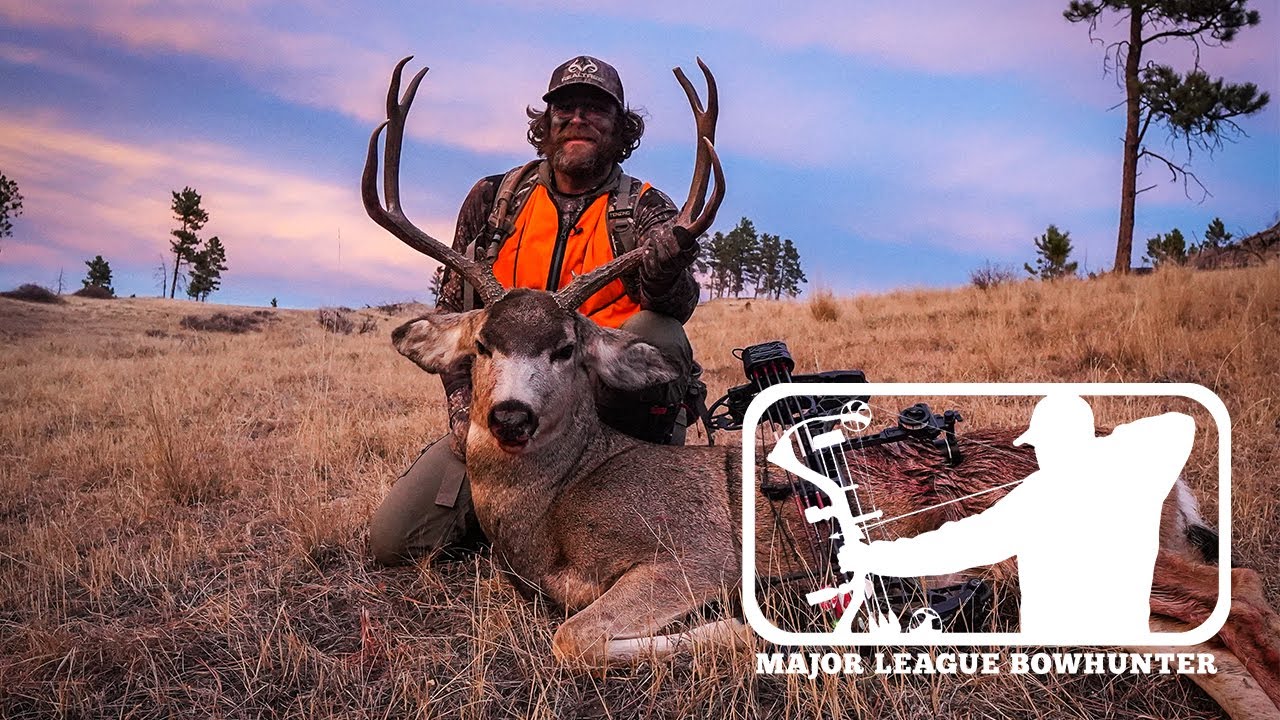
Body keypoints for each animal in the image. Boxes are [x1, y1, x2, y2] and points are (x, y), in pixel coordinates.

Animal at [362, 58, 1280, 719]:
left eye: (564, 348)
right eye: (483, 343)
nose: (510, 415)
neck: (555, 510)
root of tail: (1178, 488)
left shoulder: (690, 552)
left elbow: (577, 639)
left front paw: (733, 634)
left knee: (1246, 593)